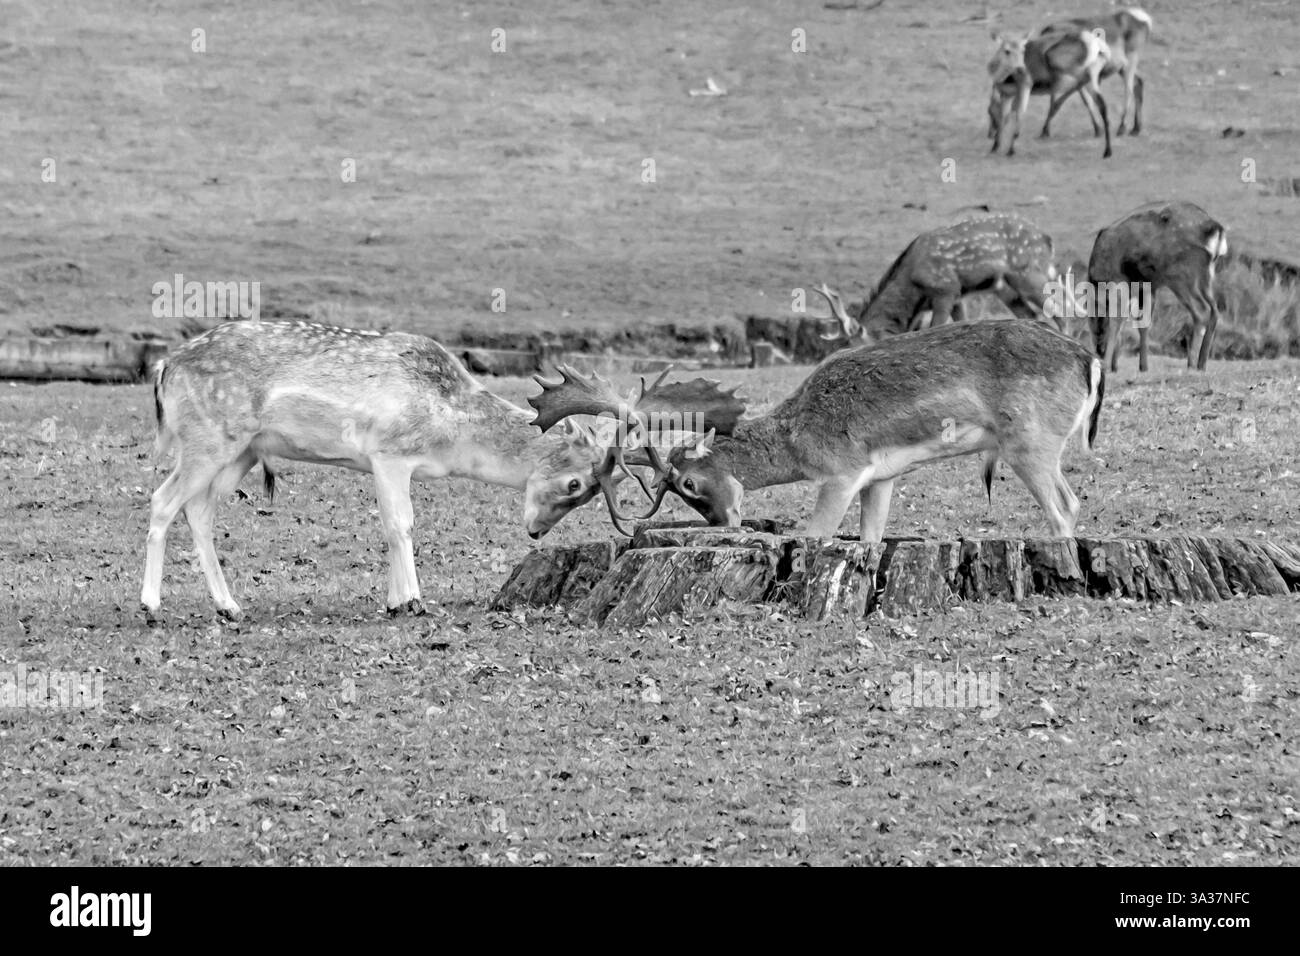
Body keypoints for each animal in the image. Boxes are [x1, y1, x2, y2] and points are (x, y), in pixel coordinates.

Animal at [139, 320, 736, 621]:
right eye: (575, 483)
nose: (535, 530)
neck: (451, 428)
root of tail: (164, 366)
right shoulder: (388, 454)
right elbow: (400, 526)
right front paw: (412, 601)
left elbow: (392, 528)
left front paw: (392, 599)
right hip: (208, 439)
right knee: (163, 500)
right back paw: (150, 605)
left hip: (240, 451)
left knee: (199, 511)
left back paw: (229, 606)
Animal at [540, 294, 1105, 543]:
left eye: (688, 484)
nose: (726, 523)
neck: (797, 438)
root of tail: (1089, 359)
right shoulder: (881, 478)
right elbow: (870, 537)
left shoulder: (840, 473)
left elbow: (815, 534)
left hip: (1029, 446)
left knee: (1065, 509)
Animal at [818, 214, 1072, 345]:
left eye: (859, 345)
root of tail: (1048, 240)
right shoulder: (958, 296)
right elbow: (961, 322)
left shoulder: (945, 290)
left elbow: (935, 326)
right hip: (1007, 290)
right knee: (1033, 314)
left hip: (1029, 274)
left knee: (1061, 309)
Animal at [988, 27, 1114, 159]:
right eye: (1007, 51)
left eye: (1023, 51)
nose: (1021, 68)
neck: (1001, 78)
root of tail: (1098, 46)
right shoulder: (1006, 94)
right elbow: (1004, 116)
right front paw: (995, 147)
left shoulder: (1025, 84)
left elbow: (1019, 113)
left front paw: (1010, 150)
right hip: (1091, 74)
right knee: (1101, 104)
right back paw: (1107, 150)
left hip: (1063, 64)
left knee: (1078, 88)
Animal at [1088, 201, 1228, 373]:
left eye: (1095, 324)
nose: (1099, 351)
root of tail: (1216, 228)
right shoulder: (1148, 285)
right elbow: (1144, 323)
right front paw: (1143, 366)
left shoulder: (1118, 279)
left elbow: (1117, 319)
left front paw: (1107, 366)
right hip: (1207, 274)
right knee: (1215, 310)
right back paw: (1202, 363)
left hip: (1180, 274)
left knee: (1201, 311)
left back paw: (1192, 363)